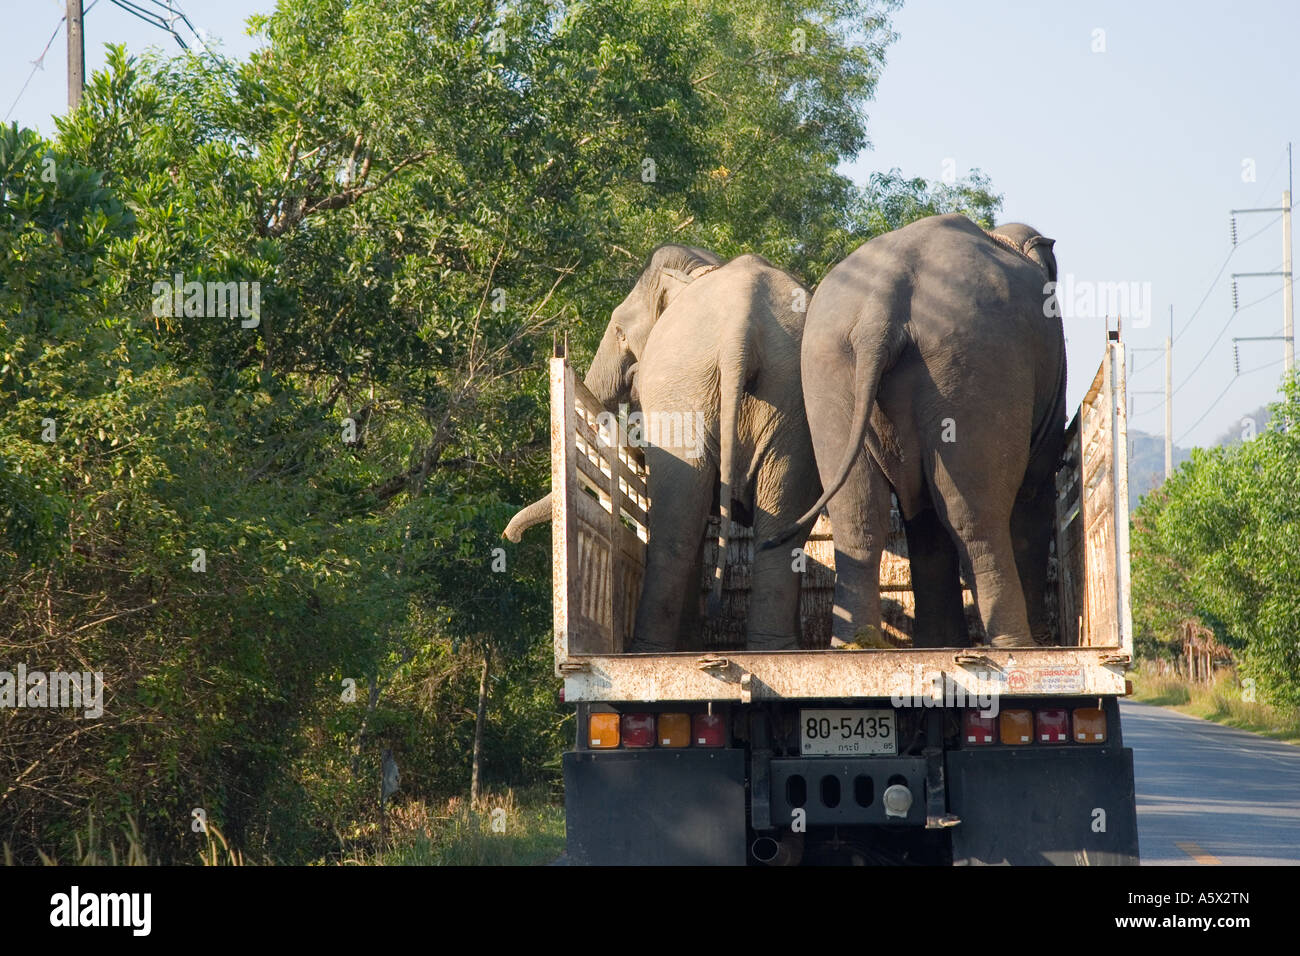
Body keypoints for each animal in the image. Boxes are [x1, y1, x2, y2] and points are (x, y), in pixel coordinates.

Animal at [768, 213, 1066, 650]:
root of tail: (883, 303)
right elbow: (1035, 483)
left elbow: (920, 512)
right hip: (975, 367)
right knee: (975, 516)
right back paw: (1017, 647)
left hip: (827, 366)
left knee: (858, 515)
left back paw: (856, 645)